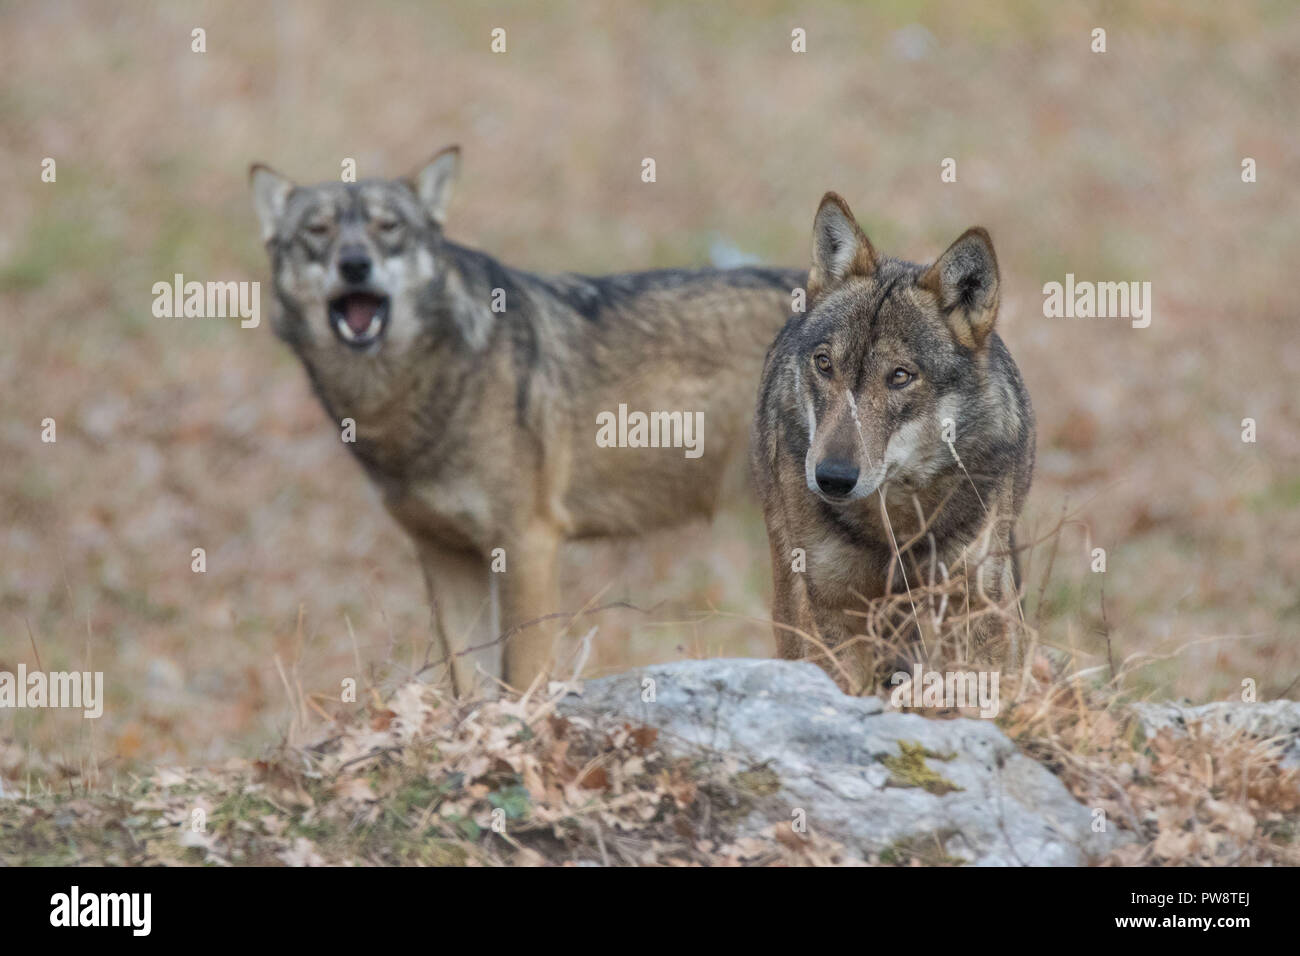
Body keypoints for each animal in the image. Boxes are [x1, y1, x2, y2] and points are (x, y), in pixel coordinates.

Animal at [249, 146, 803, 695]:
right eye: (318, 230)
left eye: (388, 227)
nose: (355, 264)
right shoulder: (444, 554)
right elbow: (469, 685)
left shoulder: (528, 543)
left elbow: (523, 675)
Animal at [750, 193, 1035, 681]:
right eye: (825, 364)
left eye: (900, 376)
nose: (832, 477)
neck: (895, 517)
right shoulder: (832, 606)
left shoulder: (971, 604)